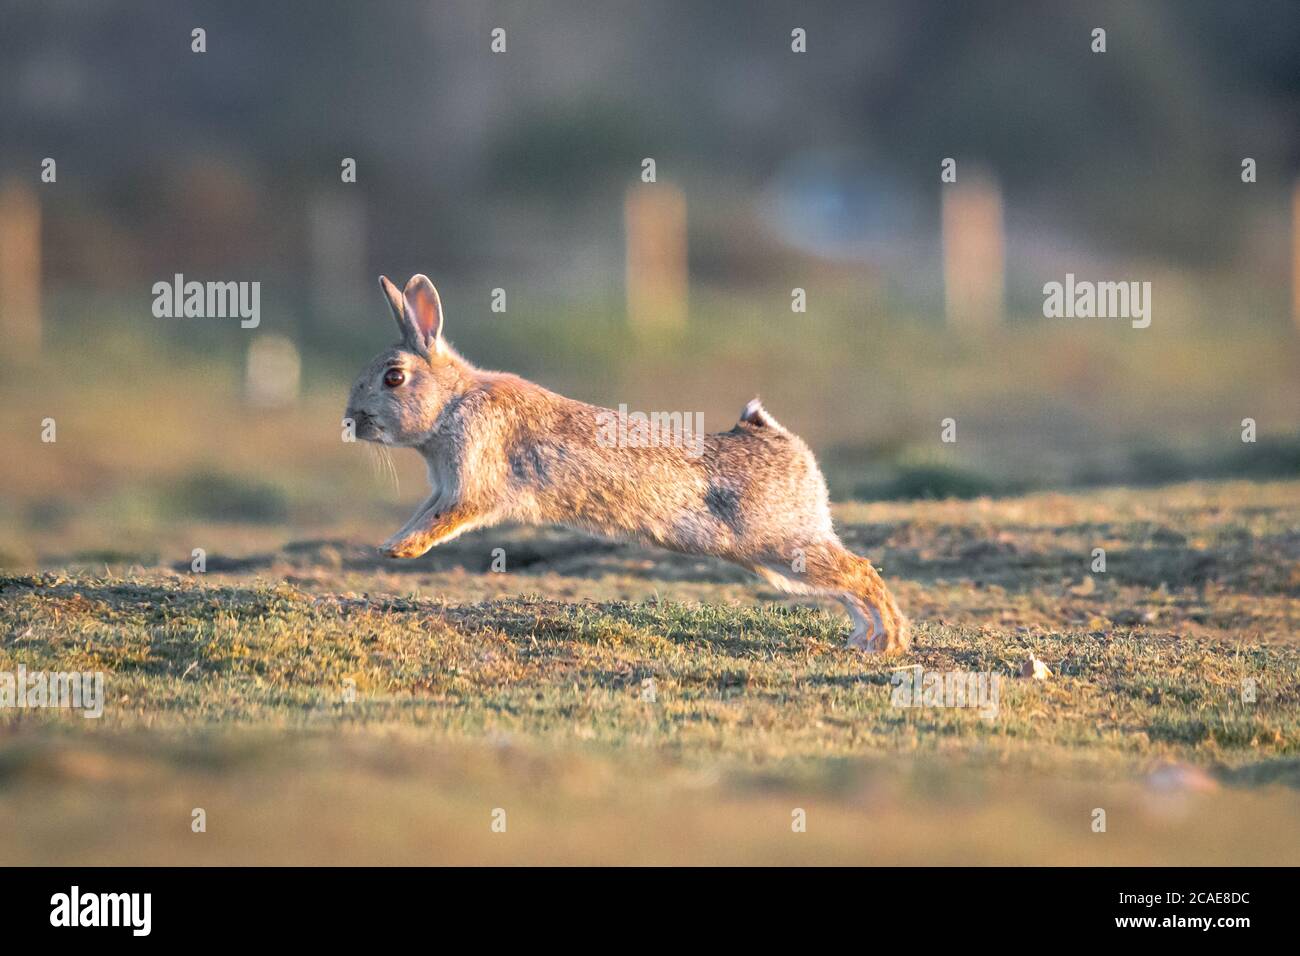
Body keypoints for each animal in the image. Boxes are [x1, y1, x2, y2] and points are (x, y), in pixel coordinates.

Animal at [344, 274, 910, 653]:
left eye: (393, 377)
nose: (351, 421)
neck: (452, 400)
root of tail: (779, 441)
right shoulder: (442, 486)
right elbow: (423, 514)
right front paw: (390, 546)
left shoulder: (470, 485)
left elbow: (446, 519)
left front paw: (402, 551)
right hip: (777, 562)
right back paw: (863, 639)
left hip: (780, 542)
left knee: (861, 572)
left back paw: (889, 641)